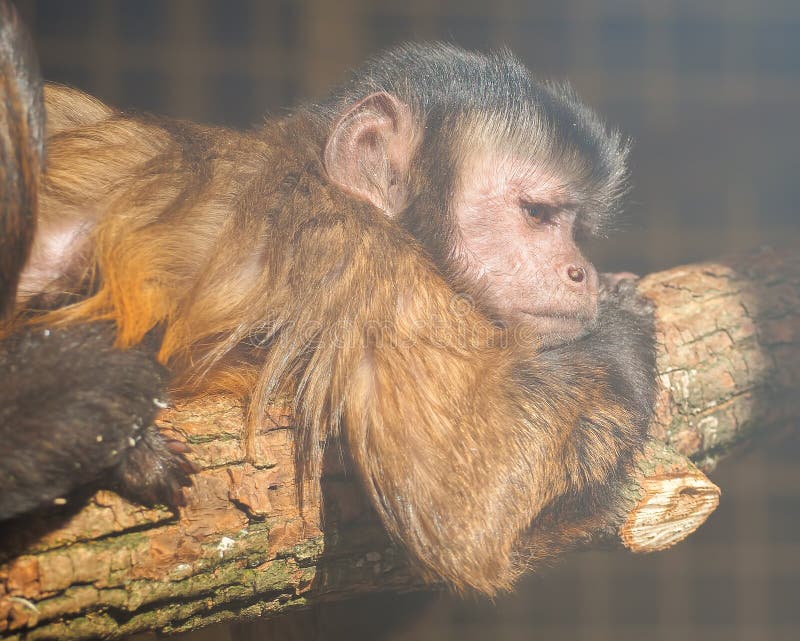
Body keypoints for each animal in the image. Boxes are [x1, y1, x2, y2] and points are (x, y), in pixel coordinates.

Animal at [0, 3, 656, 596]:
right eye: (538, 214)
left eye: (576, 226)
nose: (580, 273)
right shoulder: (372, 262)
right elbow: (456, 507)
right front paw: (623, 327)